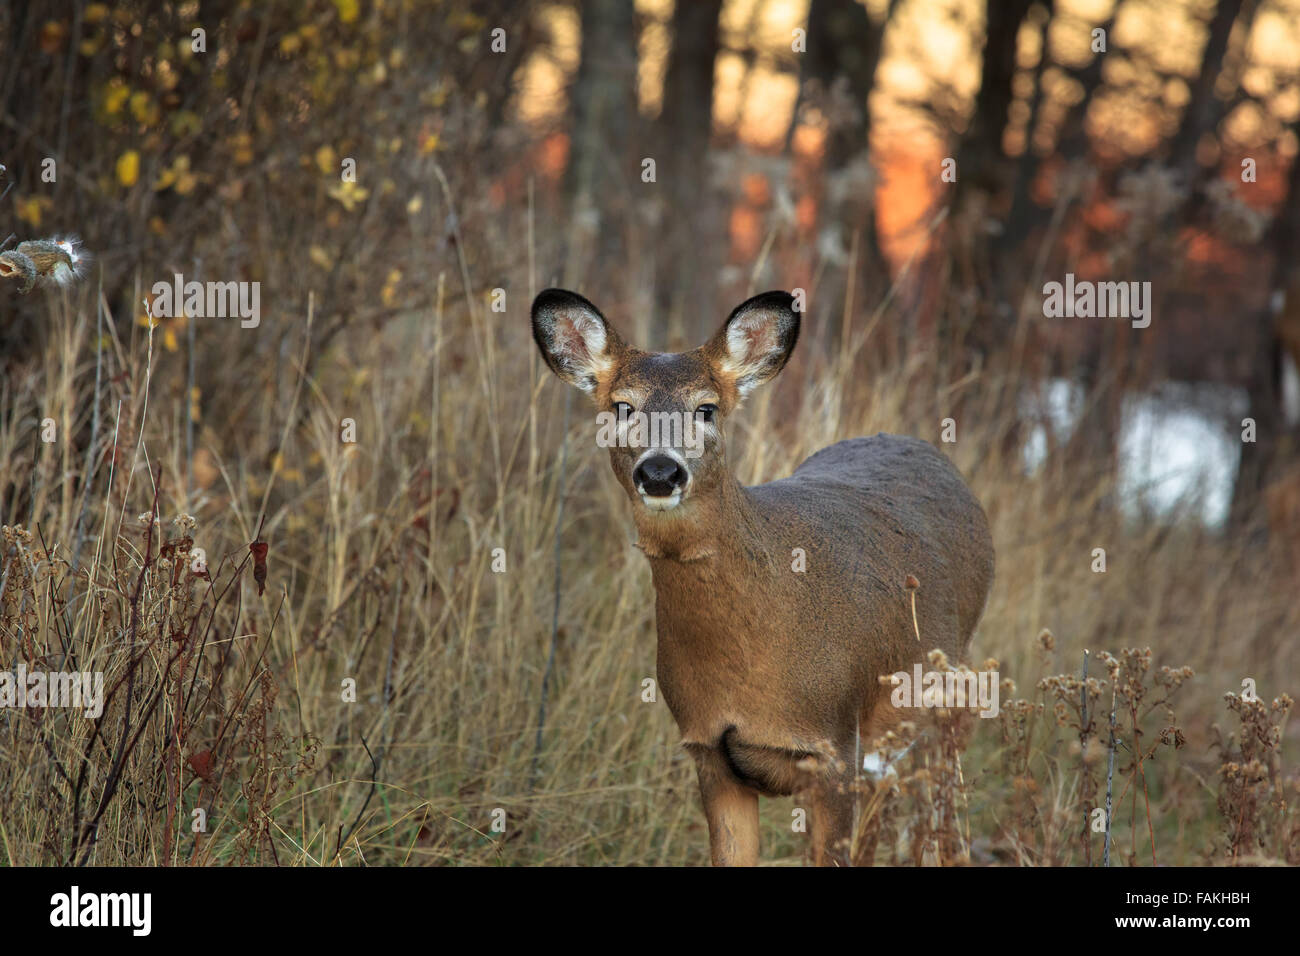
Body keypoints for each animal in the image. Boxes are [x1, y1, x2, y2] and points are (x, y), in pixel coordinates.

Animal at [531, 288, 995, 866]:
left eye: (706, 408)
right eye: (622, 406)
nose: (660, 472)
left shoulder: (835, 750)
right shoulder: (710, 752)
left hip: (947, 704)